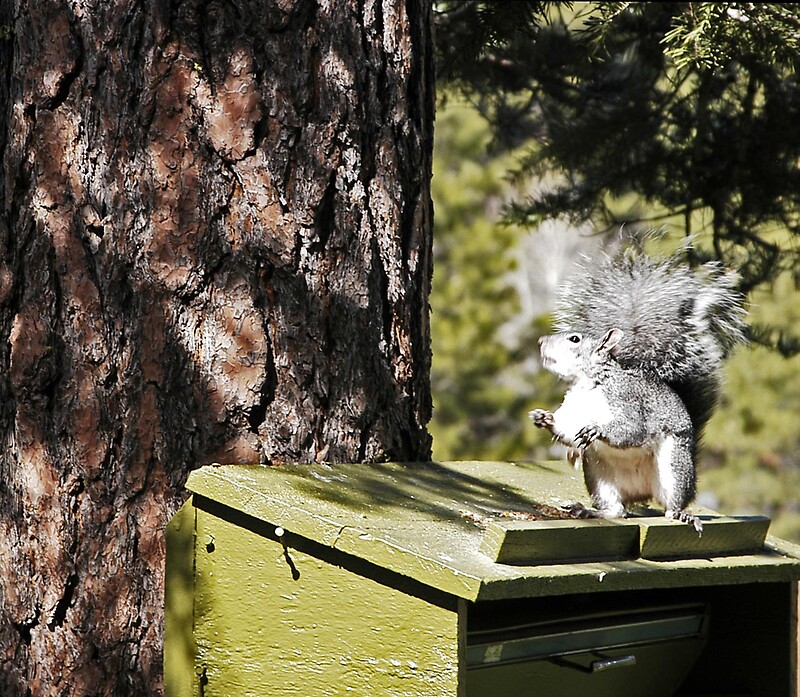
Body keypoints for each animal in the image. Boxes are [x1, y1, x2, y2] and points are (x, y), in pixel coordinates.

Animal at [529, 246, 746, 532]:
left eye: (574, 339)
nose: (540, 341)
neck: (589, 384)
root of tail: (641, 491)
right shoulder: (573, 410)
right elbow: (567, 430)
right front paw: (544, 417)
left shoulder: (628, 400)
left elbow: (632, 430)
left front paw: (597, 429)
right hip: (599, 475)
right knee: (617, 511)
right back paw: (589, 511)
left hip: (674, 467)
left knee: (672, 504)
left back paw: (682, 514)